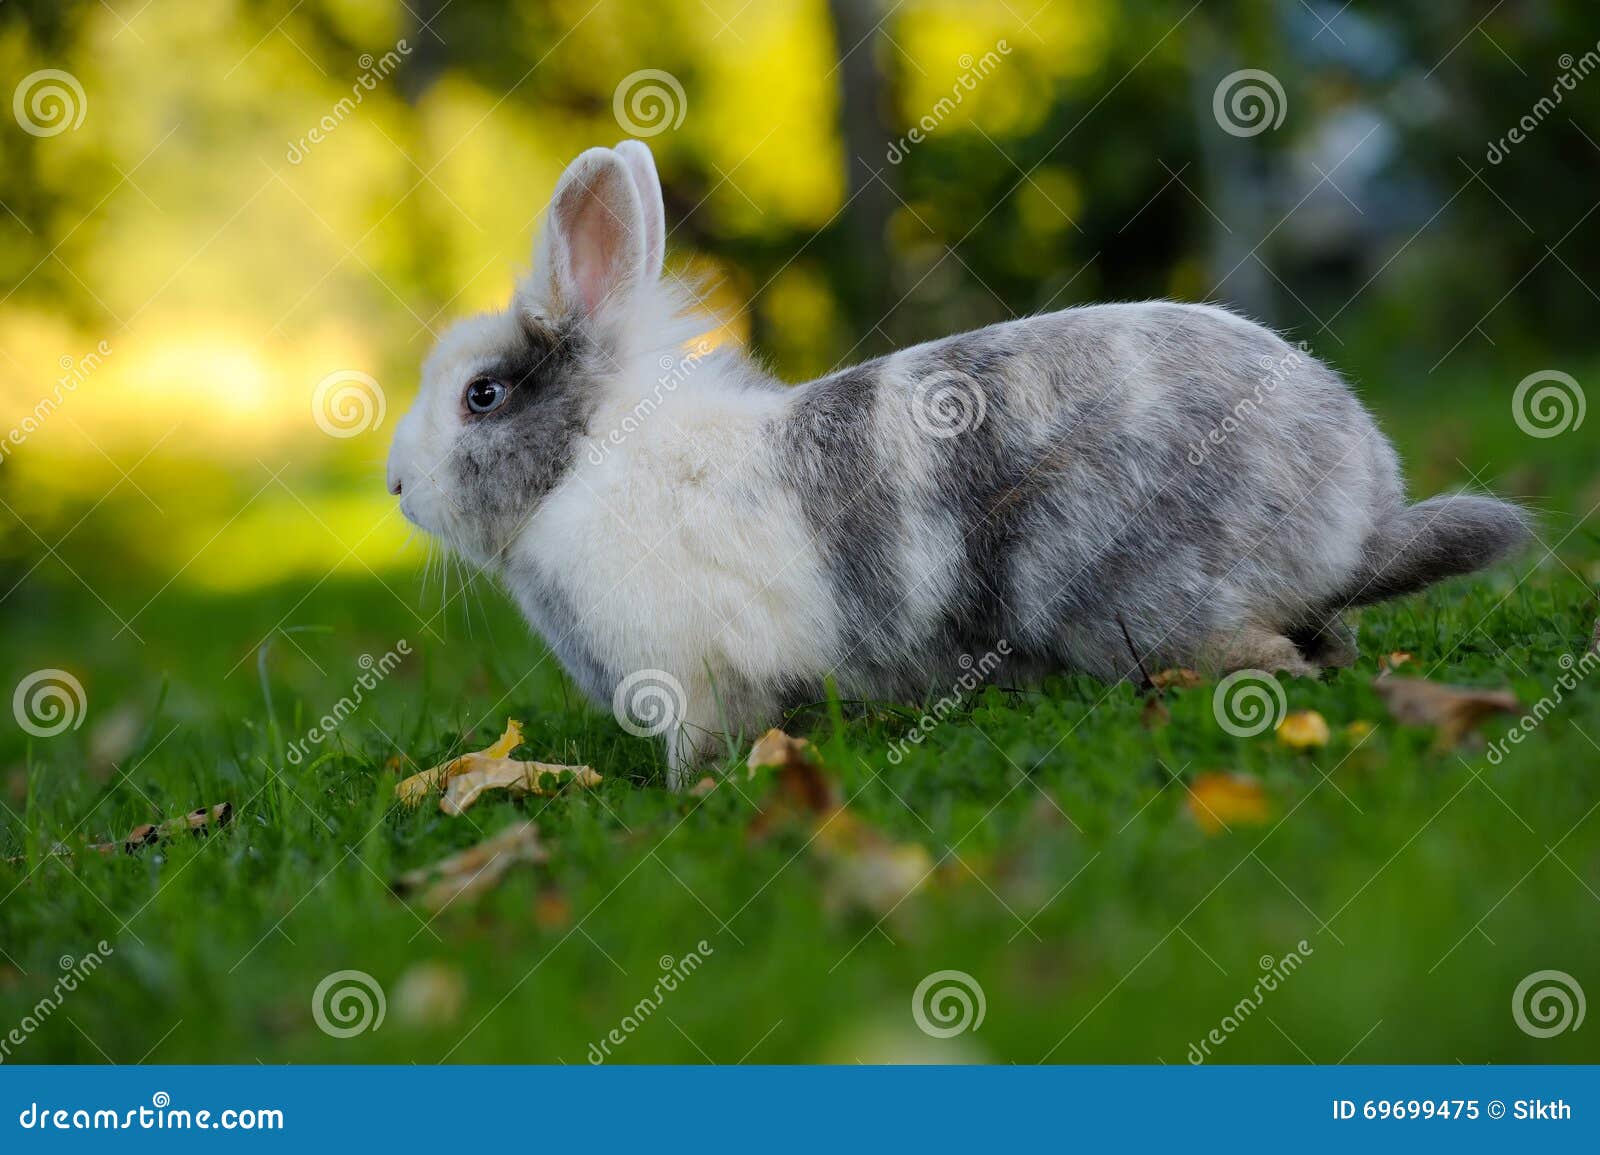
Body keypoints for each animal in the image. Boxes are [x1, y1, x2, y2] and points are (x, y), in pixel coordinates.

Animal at [386, 140, 1530, 789]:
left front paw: (688, 801)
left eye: (482, 396)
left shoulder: (697, 679)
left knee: (1267, 662)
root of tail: (1358, 508)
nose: (396, 487)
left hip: (1148, 599)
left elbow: (706, 748)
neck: (587, 459)